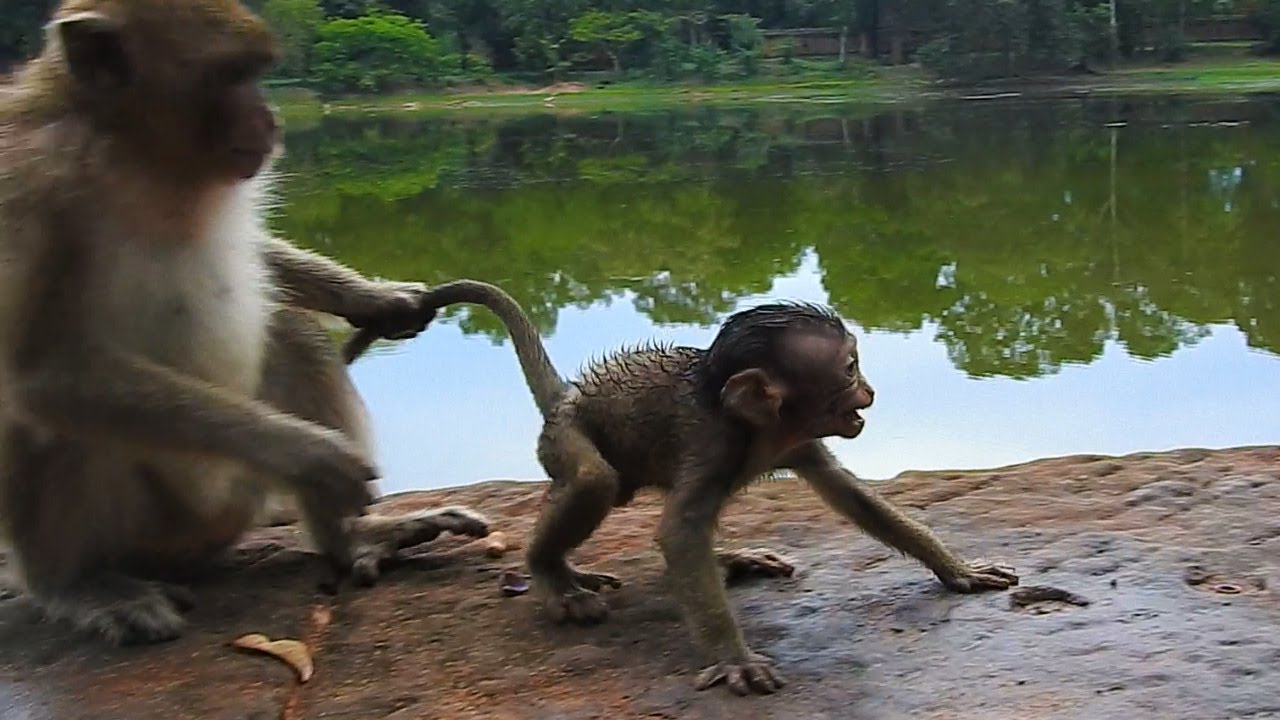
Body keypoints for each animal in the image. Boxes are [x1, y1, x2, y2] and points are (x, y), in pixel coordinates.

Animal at [0, 0, 488, 646]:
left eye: (256, 74)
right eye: (230, 75)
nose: (271, 119)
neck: (133, 154)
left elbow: (258, 263)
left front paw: (379, 299)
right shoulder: (27, 186)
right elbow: (44, 371)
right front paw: (312, 455)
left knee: (288, 329)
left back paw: (350, 537)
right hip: (156, 524)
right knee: (61, 415)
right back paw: (74, 583)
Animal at [366, 280, 1018, 696]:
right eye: (850, 369)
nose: (870, 394)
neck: (757, 424)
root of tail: (568, 396)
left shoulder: (796, 440)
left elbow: (851, 497)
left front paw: (956, 569)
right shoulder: (715, 444)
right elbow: (679, 533)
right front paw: (733, 659)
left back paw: (727, 558)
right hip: (564, 438)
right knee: (597, 481)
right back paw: (553, 573)